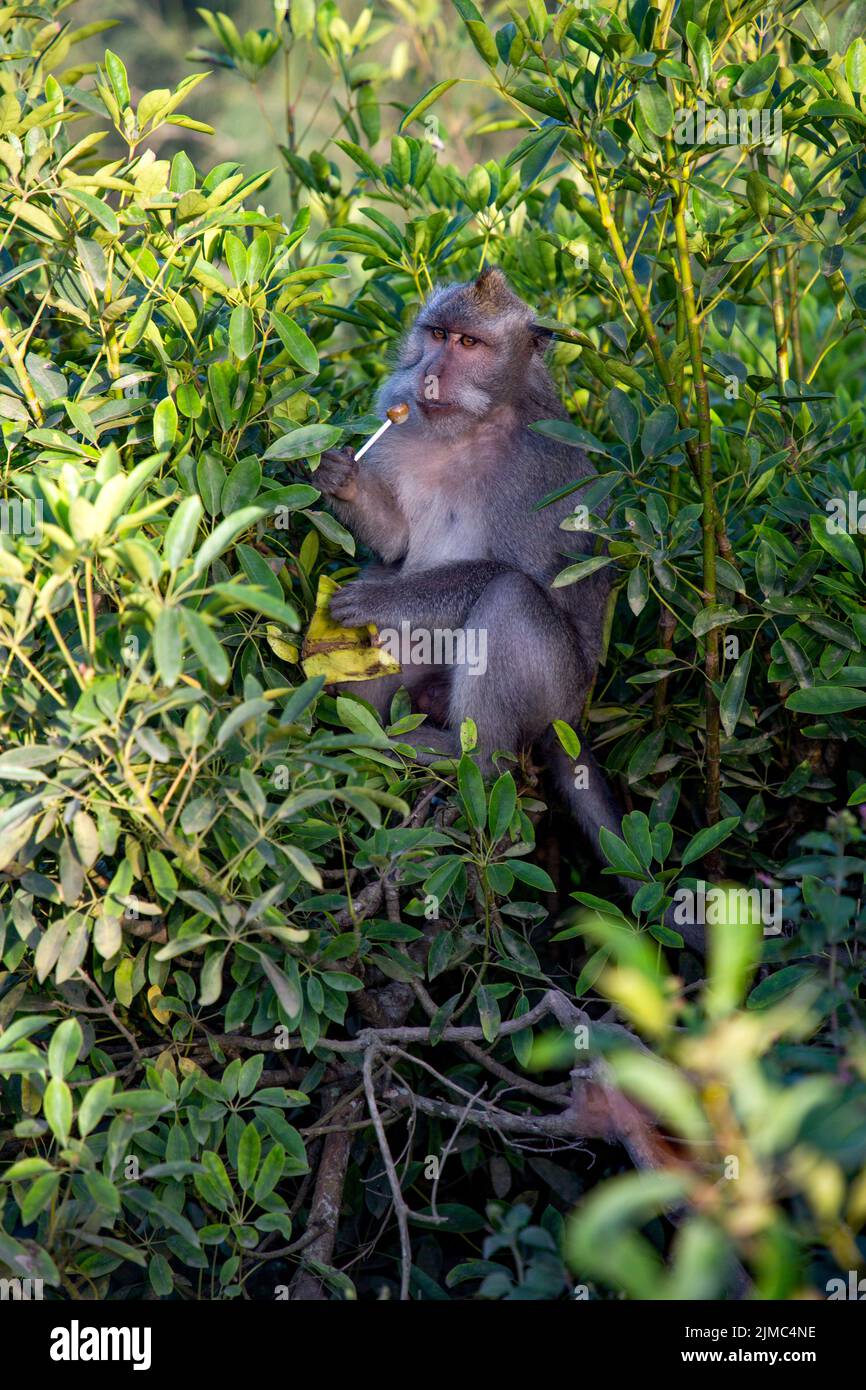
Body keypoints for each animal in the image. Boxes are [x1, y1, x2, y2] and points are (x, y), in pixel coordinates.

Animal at [313, 268, 701, 949]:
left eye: (469, 344)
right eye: (437, 334)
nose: (430, 373)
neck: (473, 426)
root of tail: (573, 716)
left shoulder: (541, 466)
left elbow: (519, 575)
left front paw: (375, 598)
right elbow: (396, 544)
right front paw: (343, 479)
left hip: (558, 688)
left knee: (508, 603)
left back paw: (463, 756)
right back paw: (380, 726)